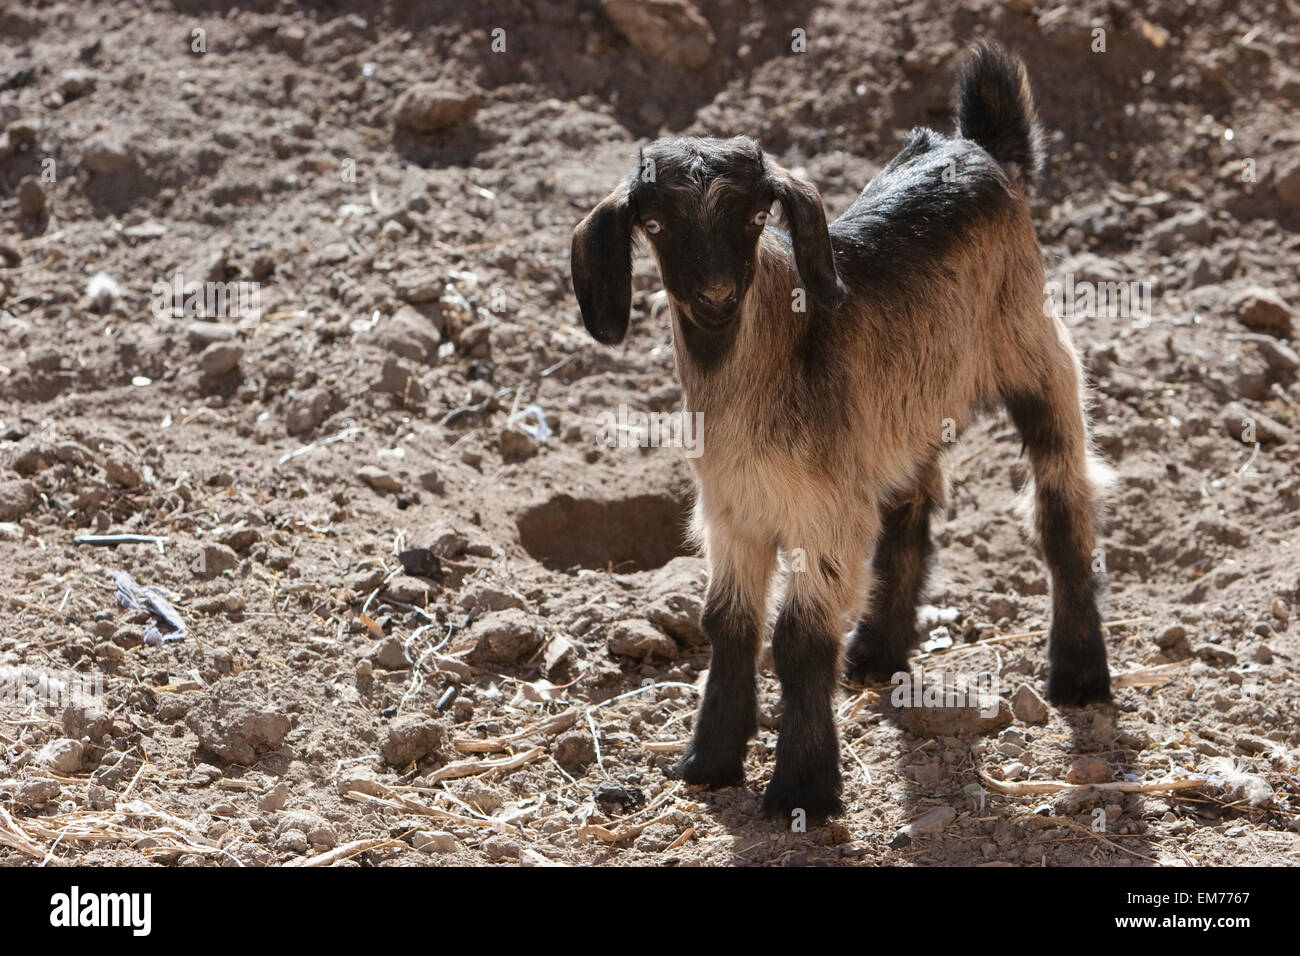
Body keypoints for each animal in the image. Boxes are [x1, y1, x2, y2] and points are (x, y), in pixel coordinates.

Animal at [570, 42, 1112, 822]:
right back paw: (879, 652)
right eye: (659, 225)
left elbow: (798, 641)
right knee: (914, 504)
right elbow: (726, 623)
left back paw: (1079, 673)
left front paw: (803, 787)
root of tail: (980, 146)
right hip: (907, 406)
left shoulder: (825, 515)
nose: (714, 297)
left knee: (1061, 498)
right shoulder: (733, 512)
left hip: (1036, 348)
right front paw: (708, 762)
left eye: (752, 216)